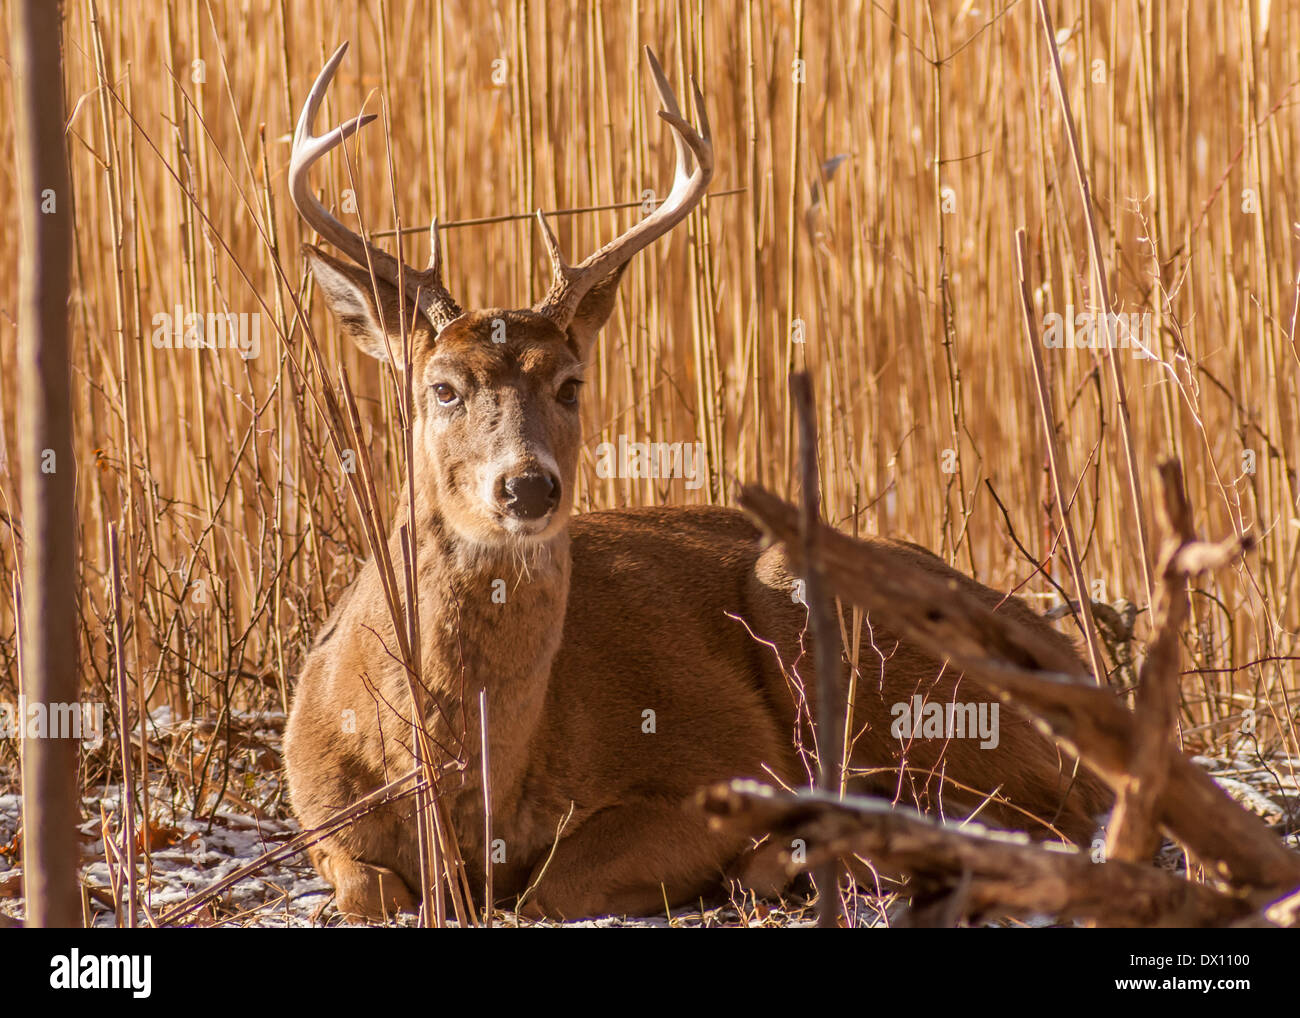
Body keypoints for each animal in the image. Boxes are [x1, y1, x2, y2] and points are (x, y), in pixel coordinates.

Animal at [283, 42, 1111, 922]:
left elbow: (548, 889)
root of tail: (1071, 656)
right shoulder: (318, 812)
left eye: (571, 383)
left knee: (1041, 816)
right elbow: (368, 885)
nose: (528, 488)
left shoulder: (708, 769)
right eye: (441, 386)